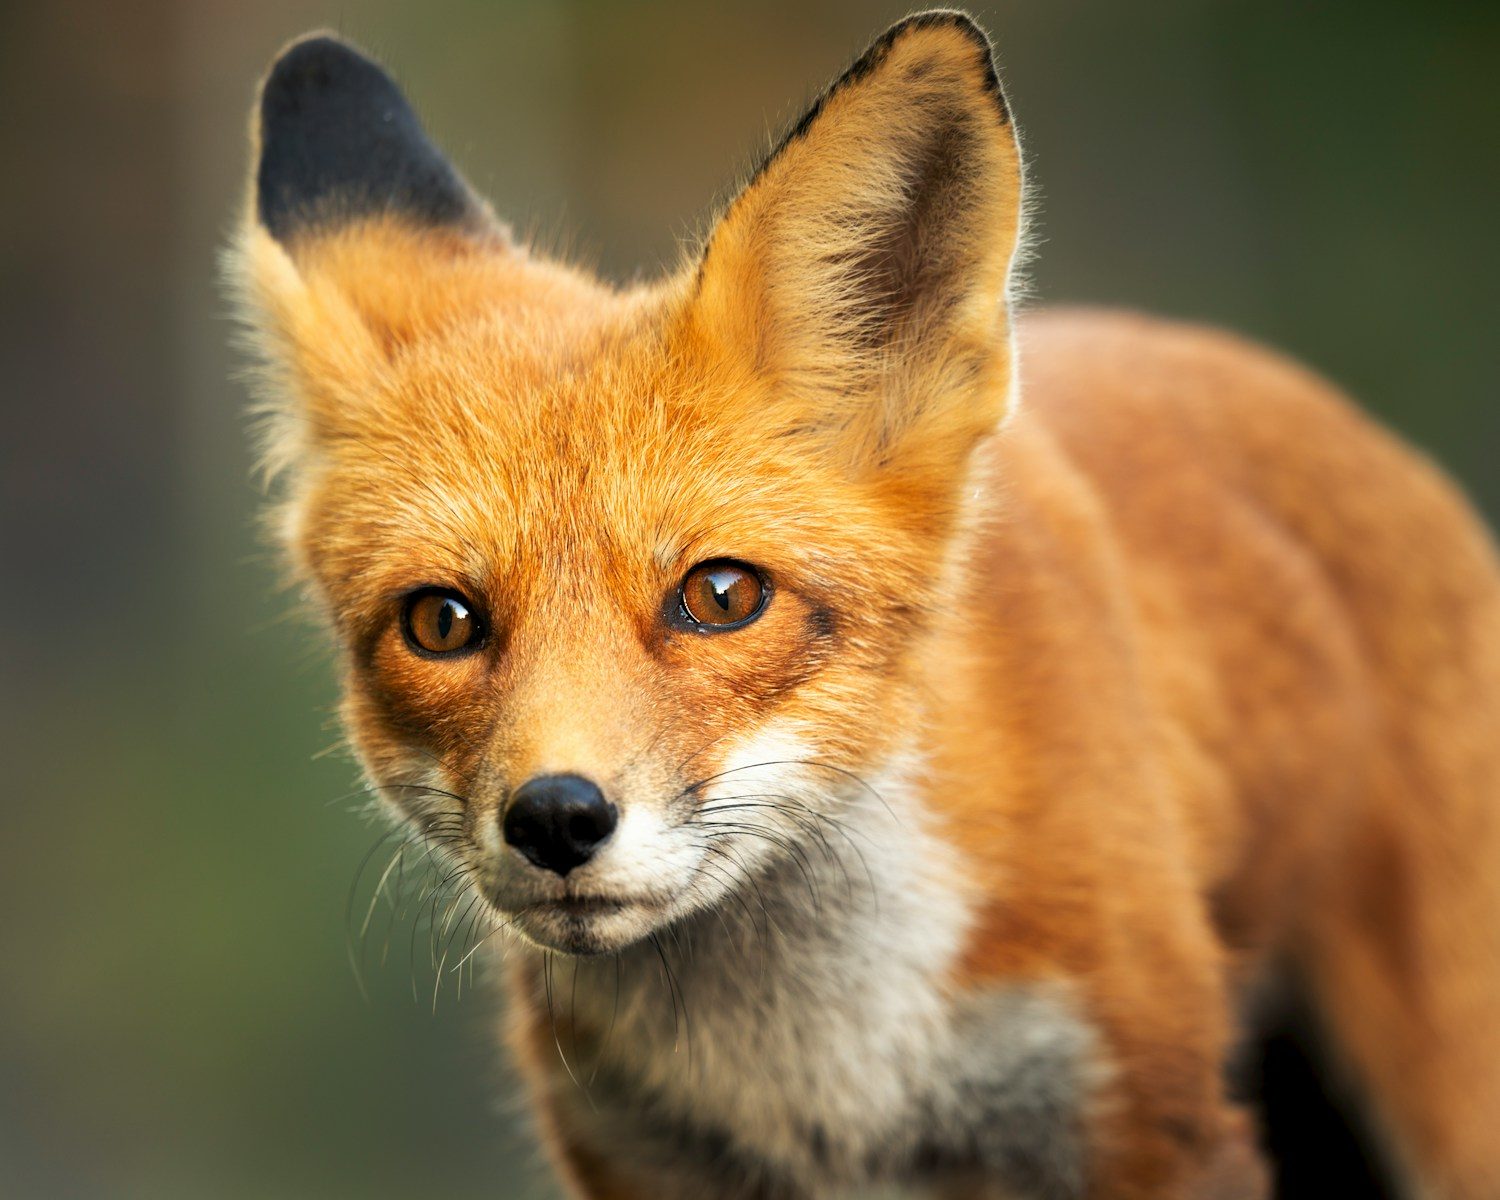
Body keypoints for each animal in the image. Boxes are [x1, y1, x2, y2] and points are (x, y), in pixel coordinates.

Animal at [227, 11, 1500, 1200]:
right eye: (441, 622)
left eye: (721, 595)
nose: (554, 818)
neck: (824, 1082)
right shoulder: (640, 1157)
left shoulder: (1147, 1122)